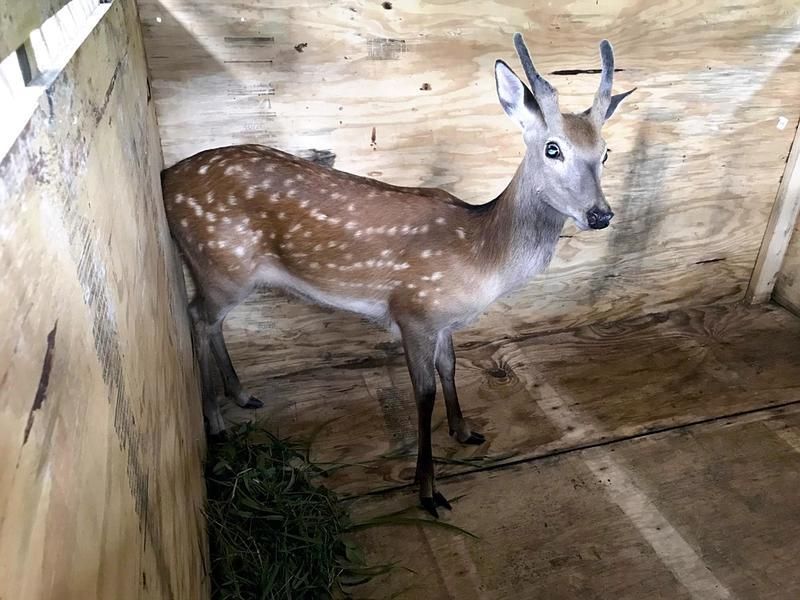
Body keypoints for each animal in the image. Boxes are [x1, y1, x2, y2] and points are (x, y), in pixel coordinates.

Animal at [162, 33, 634, 517]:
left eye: (605, 152)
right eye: (552, 148)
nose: (600, 214)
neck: (481, 254)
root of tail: (165, 175)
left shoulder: (443, 320)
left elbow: (450, 366)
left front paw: (464, 430)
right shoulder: (414, 310)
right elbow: (423, 393)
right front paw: (427, 489)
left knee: (212, 321)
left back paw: (242, 395)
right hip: (221, 264)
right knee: (197, 316)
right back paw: (216, 420)